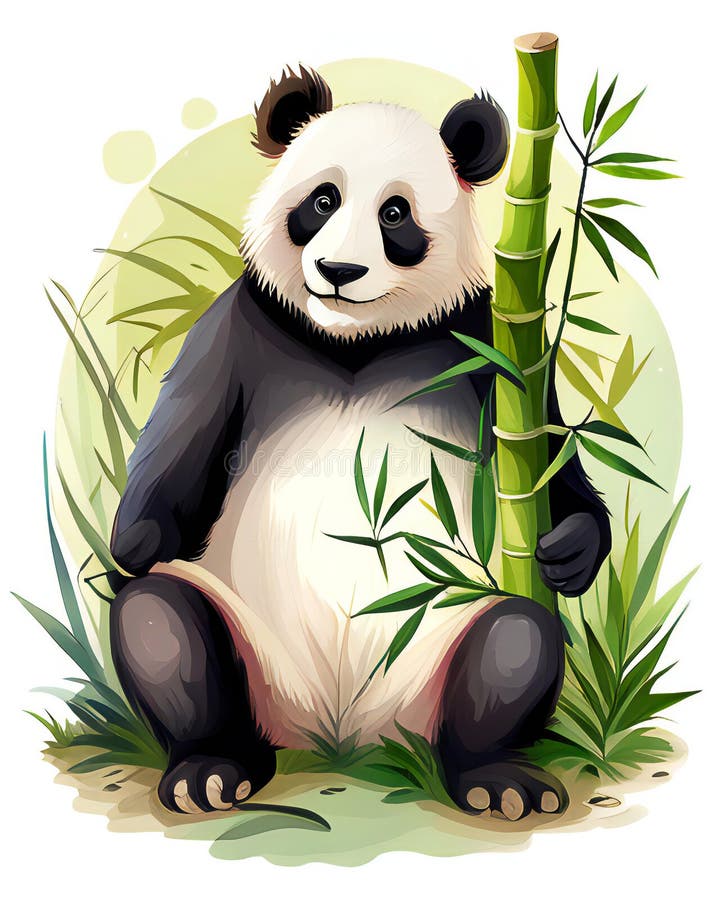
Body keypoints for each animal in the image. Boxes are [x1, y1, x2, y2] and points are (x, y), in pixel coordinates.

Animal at [109, 65, 611, 821]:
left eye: (394, 214)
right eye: (323, 200)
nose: (340, 272)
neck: (356, 343)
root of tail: (342, 736)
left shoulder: (493, 352)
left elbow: (558, 470)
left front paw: (567, 549)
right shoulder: (240, 326)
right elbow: (167, 471)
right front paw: (137, 541)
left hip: (441, 641)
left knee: (516, 633)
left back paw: (496, 780)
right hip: (253, 647)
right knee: (162, 614)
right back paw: (212, 770)